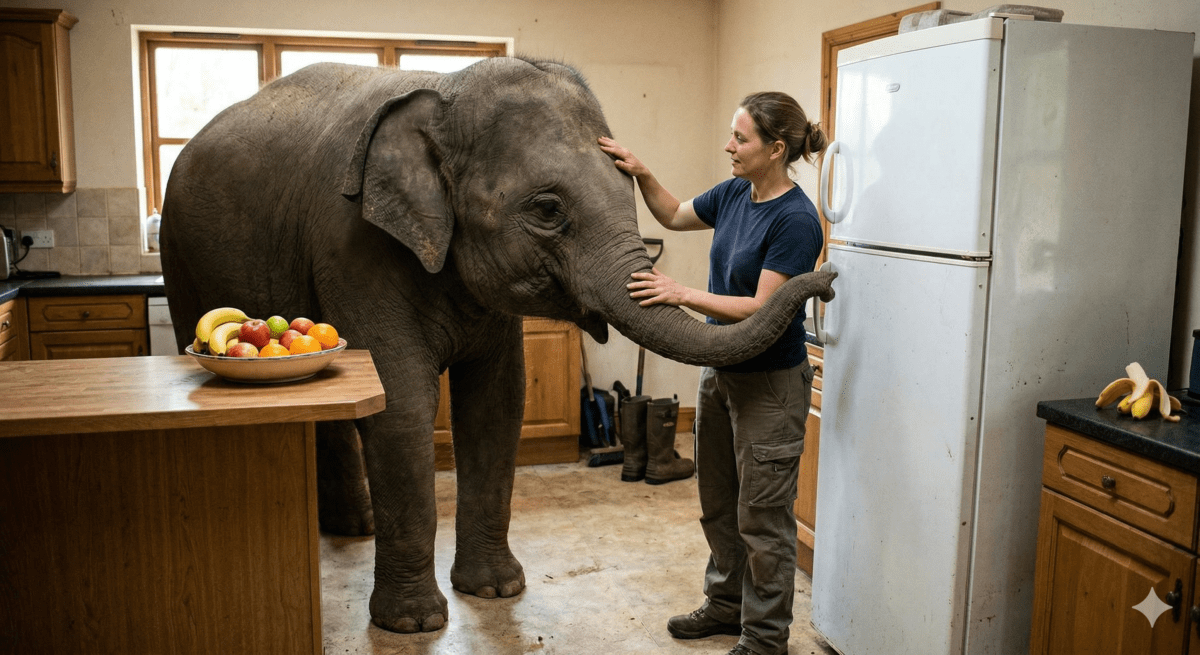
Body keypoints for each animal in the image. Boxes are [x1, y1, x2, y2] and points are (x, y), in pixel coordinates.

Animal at [159, 56, 836, 633]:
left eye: (628, 191)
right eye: (548, 209)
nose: (828, 279)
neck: (443, 88)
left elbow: (498, 401)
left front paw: (495, 592)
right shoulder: (350, 245)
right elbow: (400, 400)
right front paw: (415, 625)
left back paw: (357, 528)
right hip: (181, 258)